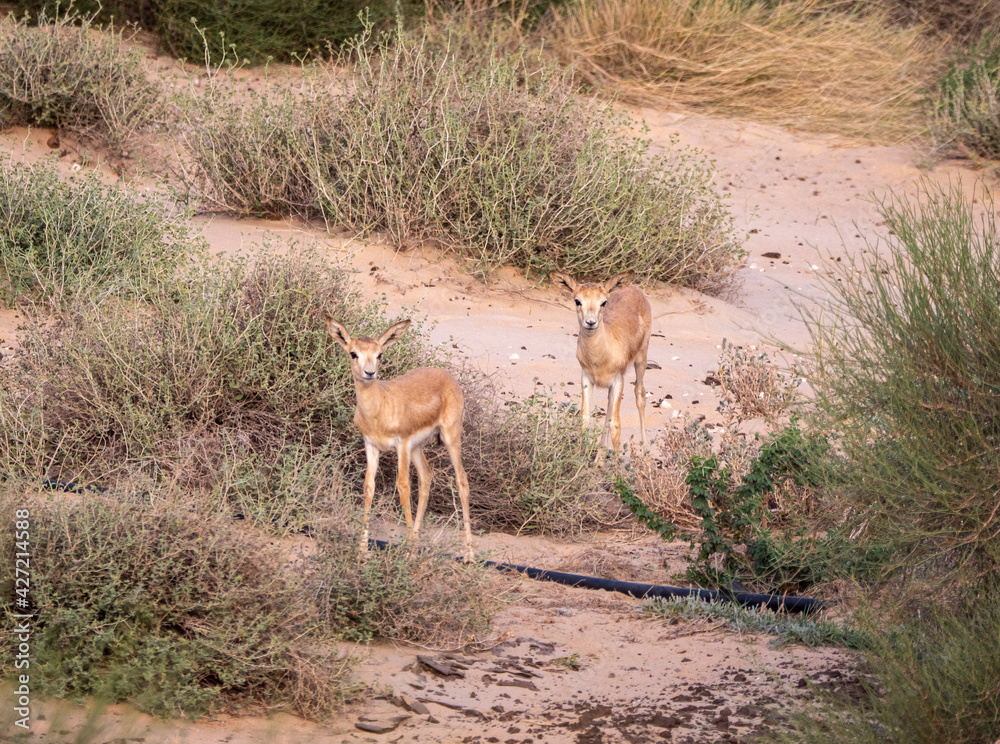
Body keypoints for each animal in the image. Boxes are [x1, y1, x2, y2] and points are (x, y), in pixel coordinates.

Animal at [326, 318, 474, 562]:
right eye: (353, 353)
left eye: (380, 354)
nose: (369, 373)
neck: (380, 408)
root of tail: (447, 375)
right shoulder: (371, 445)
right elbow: (369, 487)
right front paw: (362, 550)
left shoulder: (401, 444)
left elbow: (403, 486)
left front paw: (408, 554)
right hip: (417, 447)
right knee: (426, 476)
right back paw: (416, 542)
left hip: (450, 437)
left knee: (462, 481)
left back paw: (468, 555)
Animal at [551, 271, 652, 454]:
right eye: (577, 300)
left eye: (603, 302)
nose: (591, 322)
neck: (601, 357)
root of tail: (634, 288)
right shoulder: (587, 378)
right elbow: (585, 419)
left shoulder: (618, 381)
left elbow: (616, 425)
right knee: (609, 410)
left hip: (641, 359)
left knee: (640, 395)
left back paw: (645, 451)